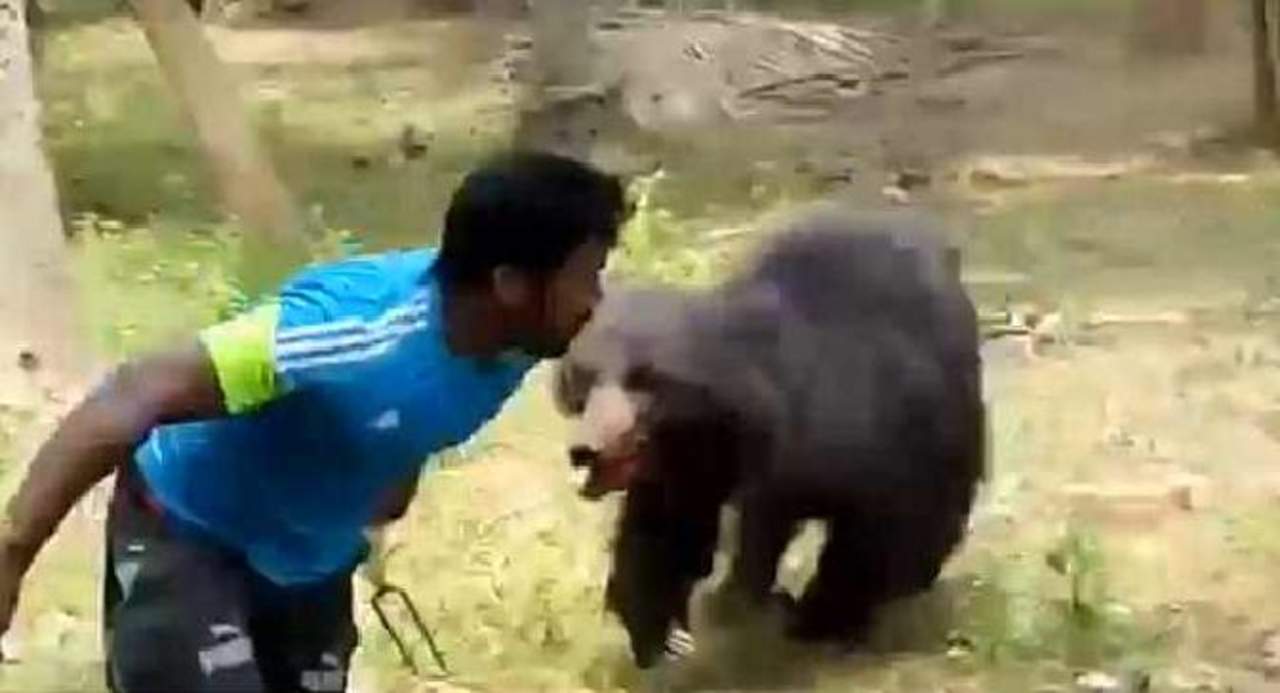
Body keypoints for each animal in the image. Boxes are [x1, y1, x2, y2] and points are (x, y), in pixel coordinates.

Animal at [553, 206, 987, 669]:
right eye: (583, 377)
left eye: (643, 381)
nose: (585, 449)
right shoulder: (695, 458)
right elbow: (668, 529)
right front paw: (658, 628)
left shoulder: (870, 427)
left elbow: (878, 528)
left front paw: (821, 616)